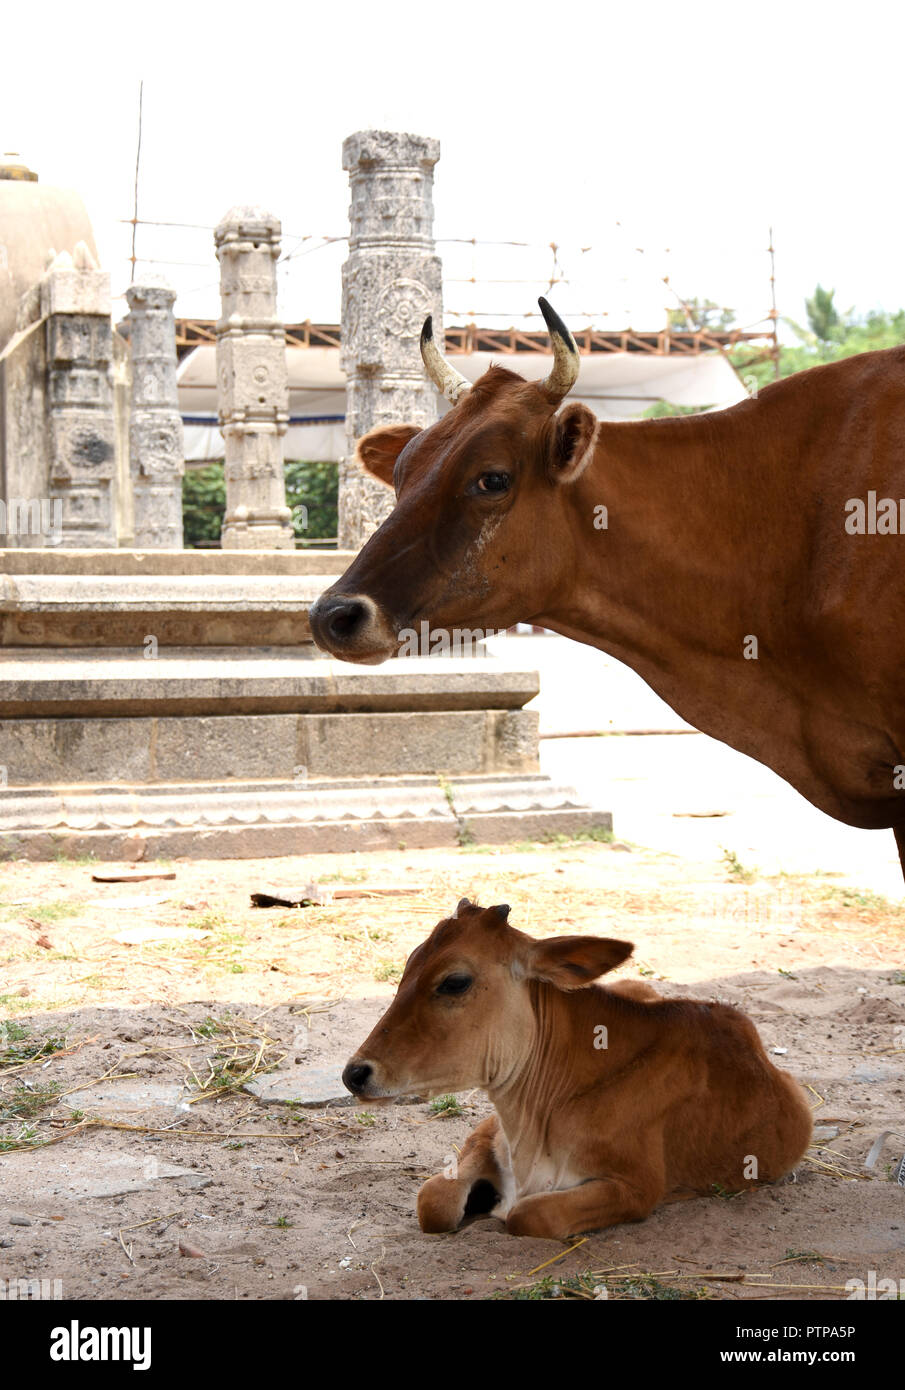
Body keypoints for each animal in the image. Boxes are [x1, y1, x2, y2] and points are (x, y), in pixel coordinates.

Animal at [339, 895, 811, 1245]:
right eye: (408, 965)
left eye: (455, 981)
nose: (355, 1074)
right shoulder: (488, 1131)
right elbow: (432, 1200)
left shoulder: (636, 1187)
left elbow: (527, 1216)